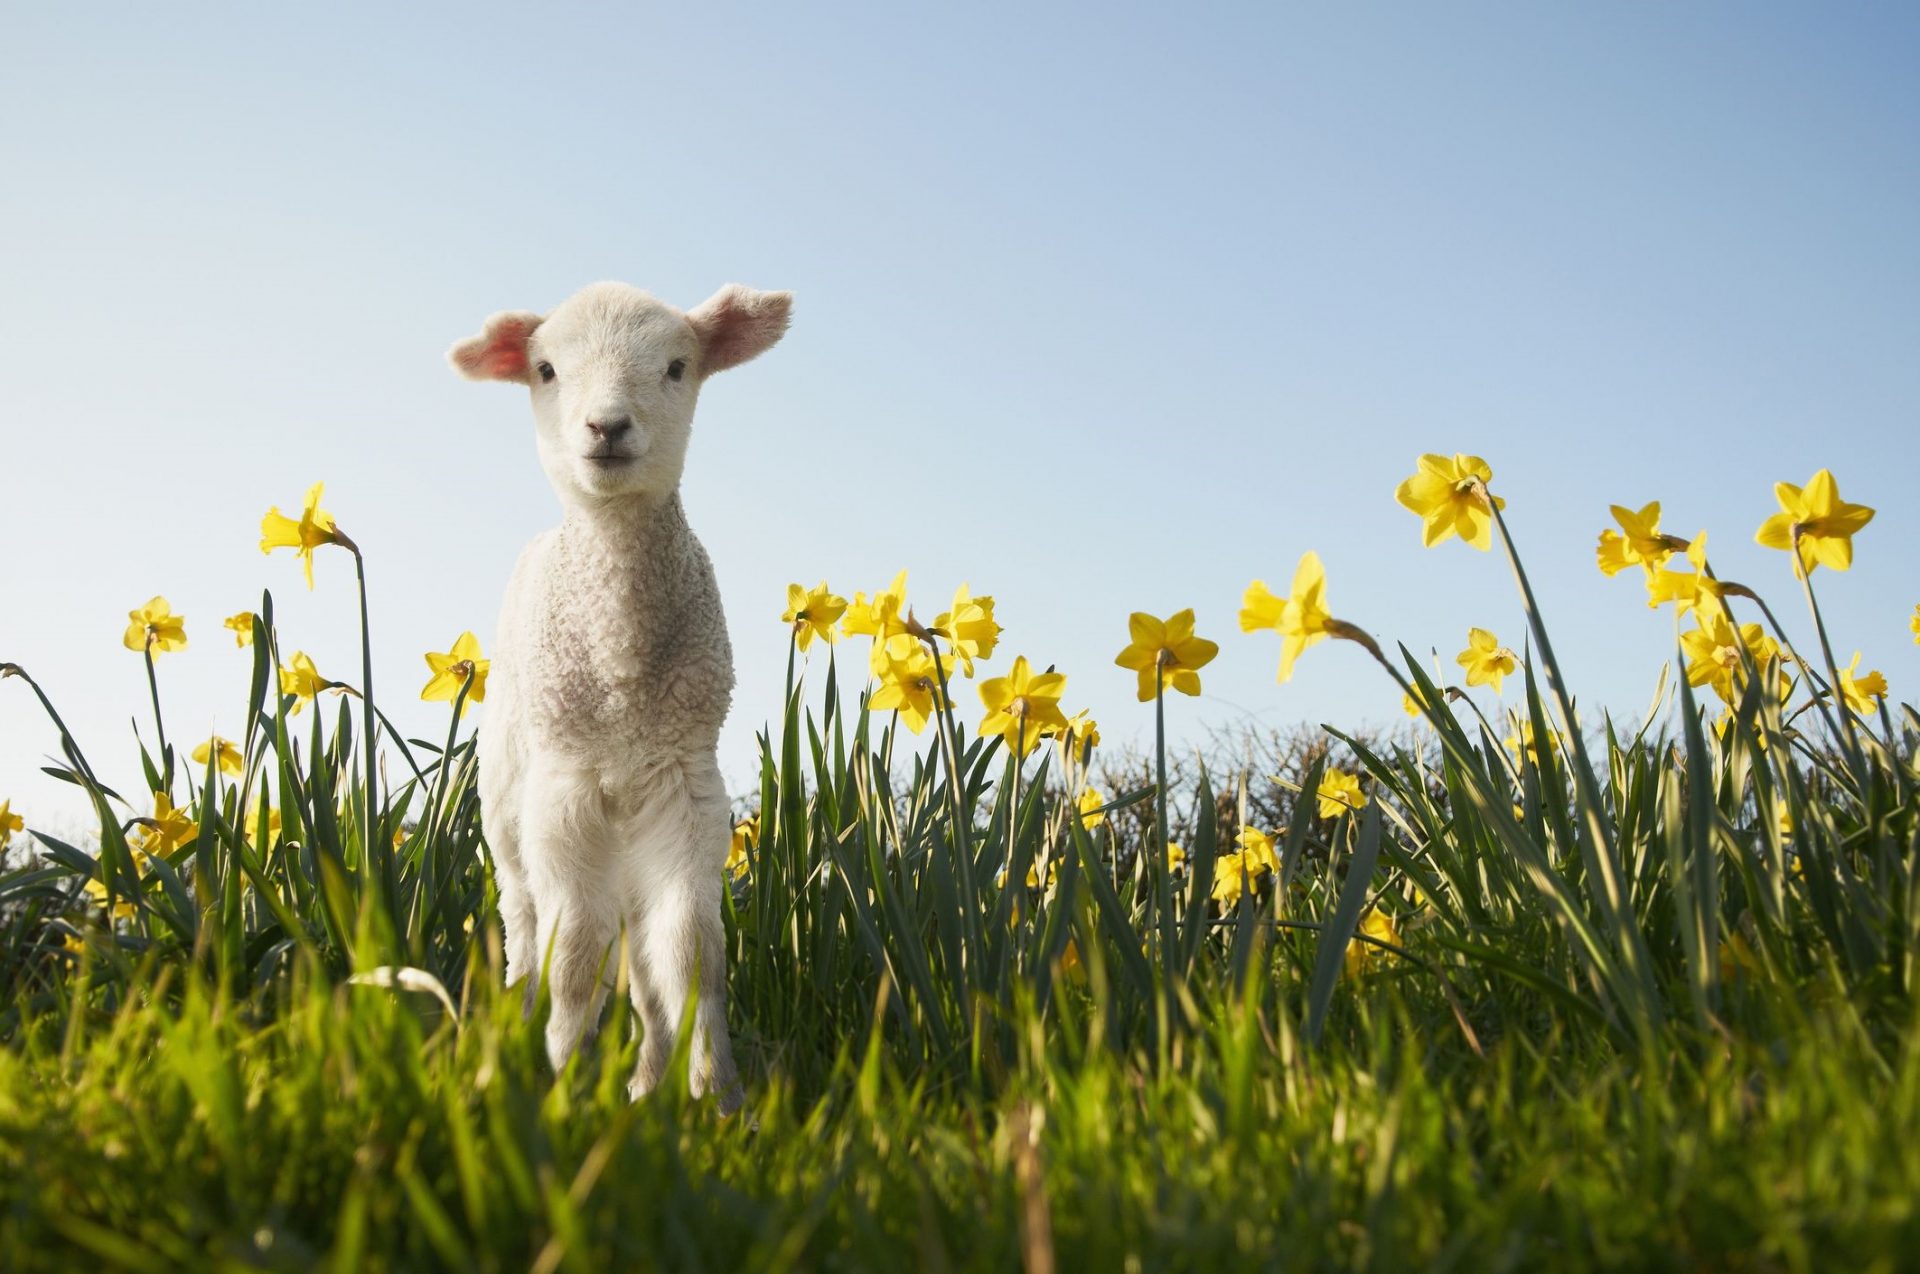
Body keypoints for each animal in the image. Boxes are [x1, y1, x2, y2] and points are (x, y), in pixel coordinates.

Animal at [448, 281, 791, 1111]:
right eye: (545, 370)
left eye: (676, 367)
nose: (606, 426)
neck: (622, 684)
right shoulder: (565, 792)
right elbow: (574, 954)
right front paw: (559, 1078)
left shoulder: (685, 786)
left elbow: (692, 953)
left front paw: (716, 1096)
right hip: (507, 816)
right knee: (528, 931)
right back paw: (523, 1030)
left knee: (639, 954)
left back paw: (646, 1077)